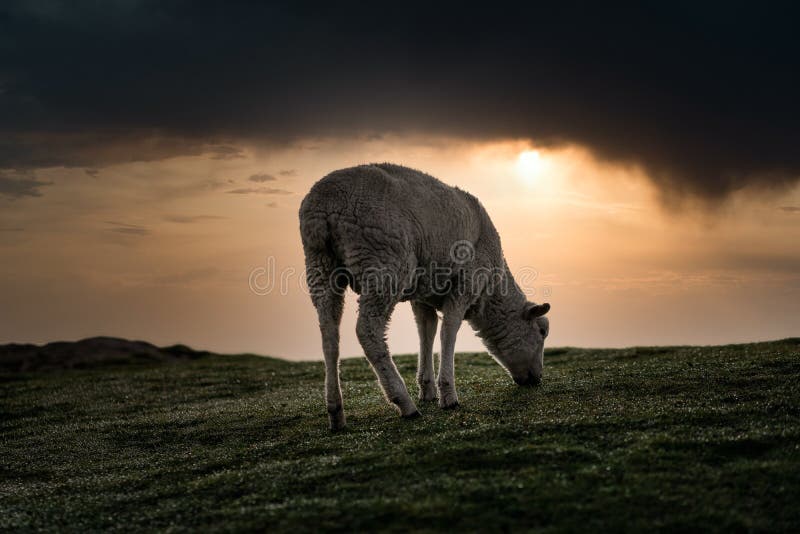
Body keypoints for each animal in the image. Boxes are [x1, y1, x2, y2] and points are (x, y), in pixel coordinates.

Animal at [299, 163, 550, 430]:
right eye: (542, 331)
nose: (537, 379)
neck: (492, 289)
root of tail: (326, 206)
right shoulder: (467, 282)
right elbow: (448, 331)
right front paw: (448, 394)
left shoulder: (423, 293)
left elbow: (426, 331)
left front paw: (428, 388)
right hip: (383, 263)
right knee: (367, 331)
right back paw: (403, 402)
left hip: (320, 265)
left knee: (329, 334)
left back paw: (336, 412)